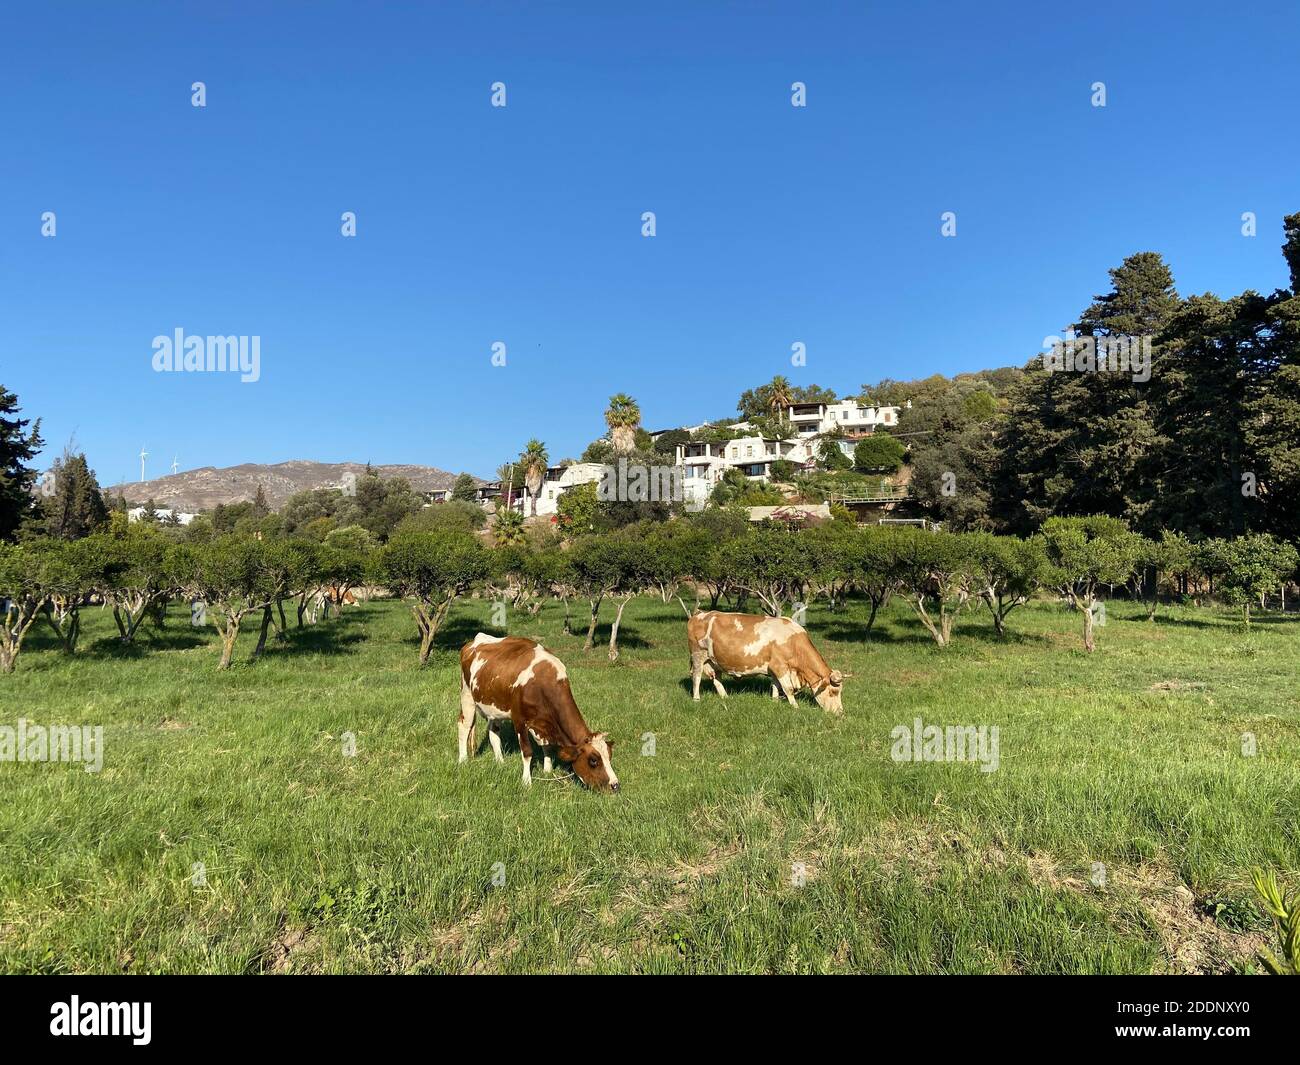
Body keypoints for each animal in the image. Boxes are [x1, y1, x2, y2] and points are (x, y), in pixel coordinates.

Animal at [458, 634, 619, 791]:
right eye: (593, 760)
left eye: (610, 757)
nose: (615, 785)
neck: (542, 682)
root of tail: (473, 641)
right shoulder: (519, 720)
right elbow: (527, 752)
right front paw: (526, 782)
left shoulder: (543, 722)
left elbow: (546, 745)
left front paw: (547, 770)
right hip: (467, 695)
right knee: (464, 726)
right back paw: (463, 760)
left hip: (494, 706)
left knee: (493, 732)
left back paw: (500, 761)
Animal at [687, 610, 844, 713]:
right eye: (833, 692)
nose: (840, 712)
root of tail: (698, 615)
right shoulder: (780, 666)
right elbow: (788, 688)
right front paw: (796, 707)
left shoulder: (773, 668)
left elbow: (775, 686)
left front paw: (775, 702)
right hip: (698, 654)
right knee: (696, 677)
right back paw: (696, 699)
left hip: (715, 660)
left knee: (717, 679)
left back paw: (725, 697)